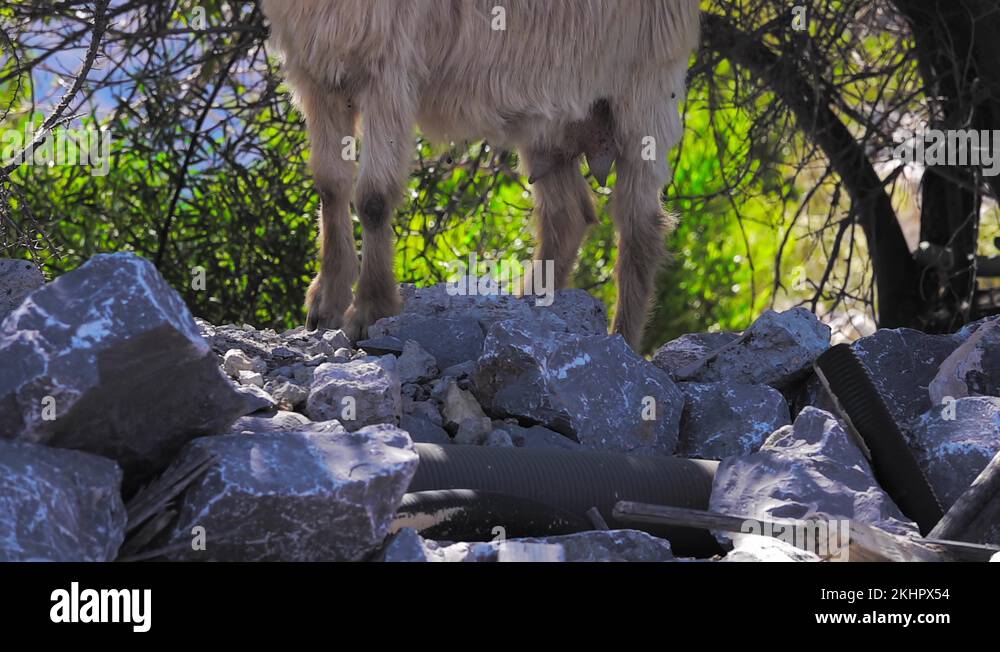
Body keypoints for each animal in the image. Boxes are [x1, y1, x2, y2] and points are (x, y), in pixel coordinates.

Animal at [261, 0, 701, 347]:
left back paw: (622, 339)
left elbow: (372, 198)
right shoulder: (316, 72)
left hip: (645, 93)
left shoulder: (389, 70)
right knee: (568, 213)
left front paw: (370, 309)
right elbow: (330, 184)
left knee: (640, 226)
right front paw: (325, 305)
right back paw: (533, 306)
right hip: (552, 117)